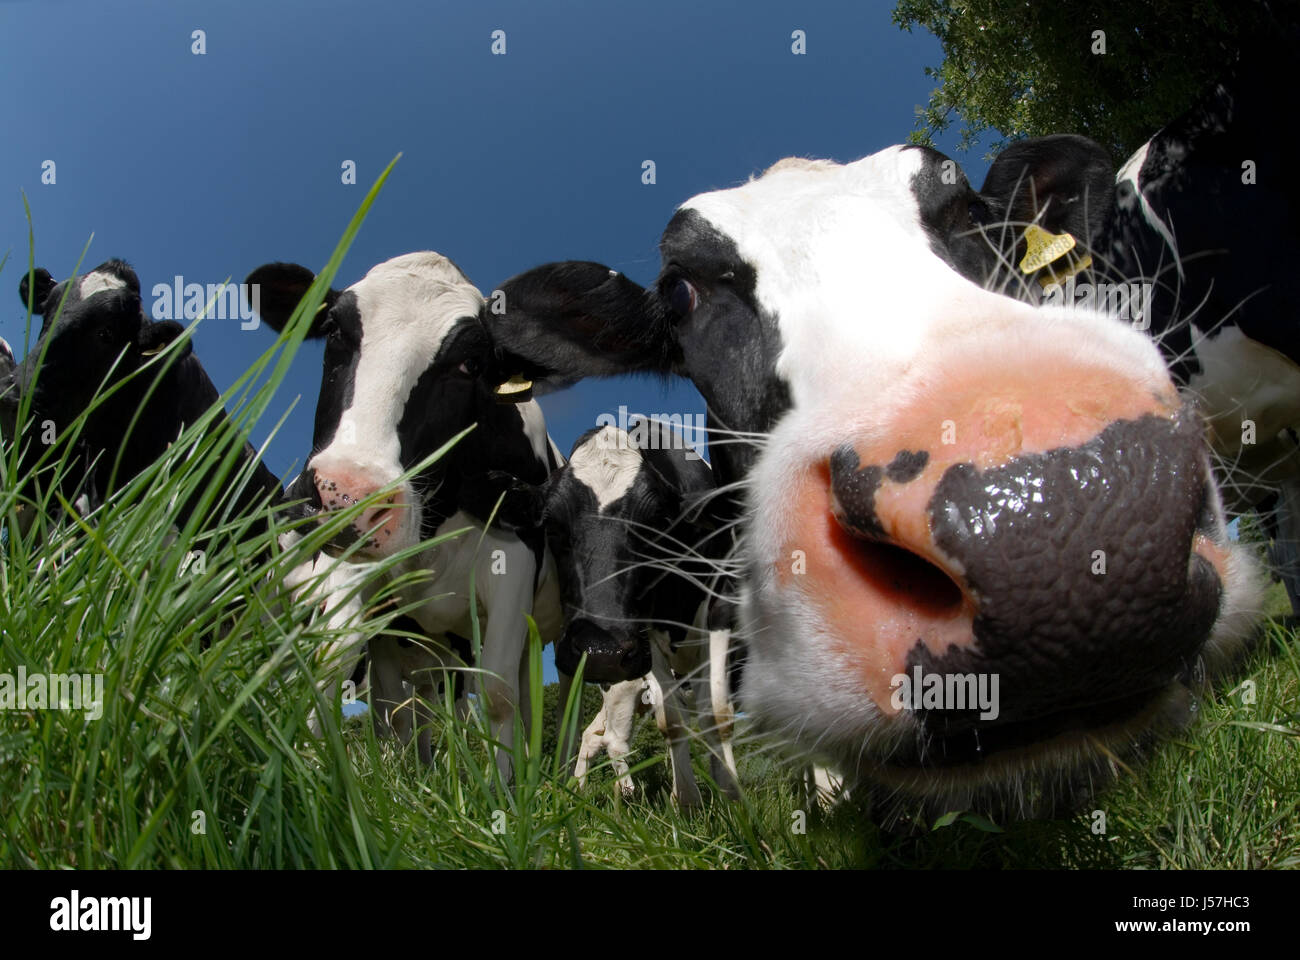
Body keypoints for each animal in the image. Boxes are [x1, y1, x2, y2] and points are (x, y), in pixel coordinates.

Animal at [245, 252, 569, 779]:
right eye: (335, 331)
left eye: (472, 363)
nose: (347, 494)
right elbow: (335, 664)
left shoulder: (514, 558)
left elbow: (498, 692)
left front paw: (503, 791)